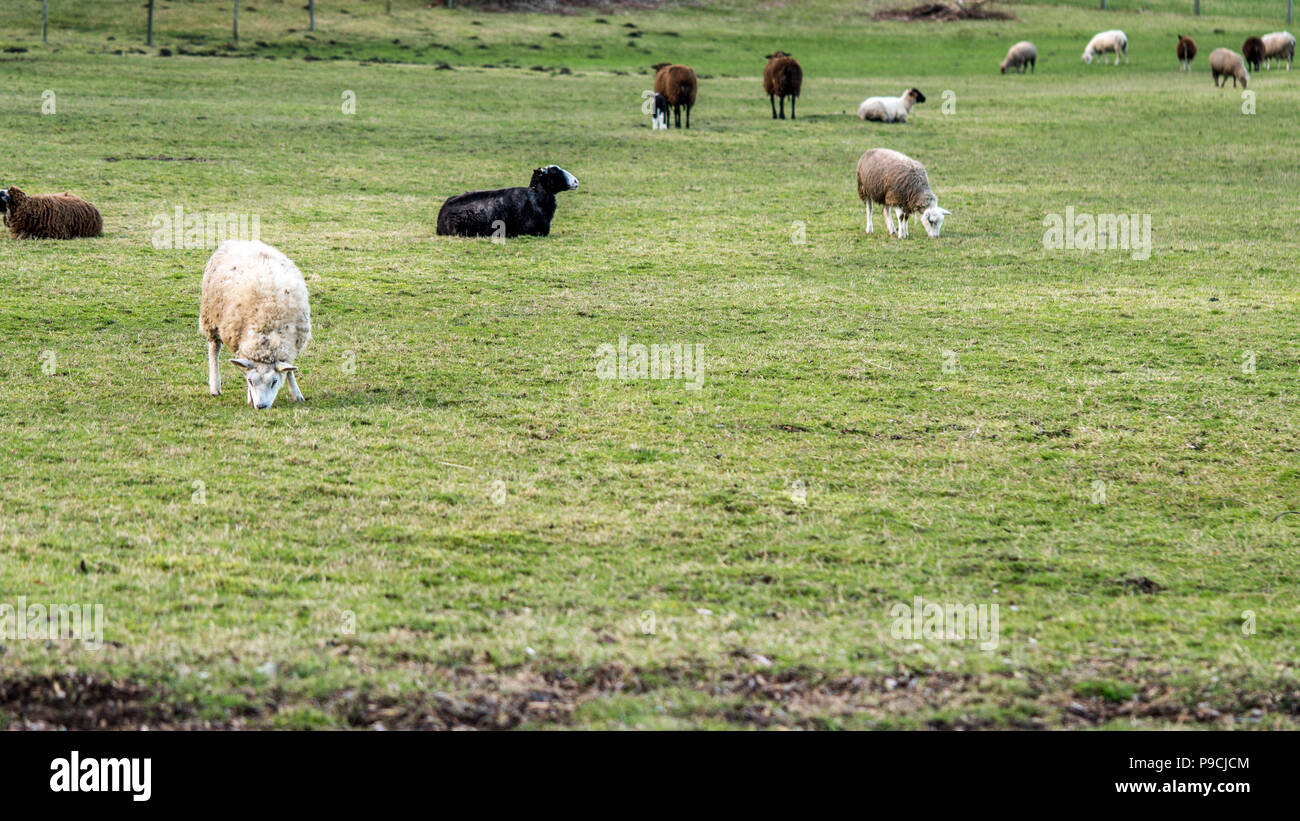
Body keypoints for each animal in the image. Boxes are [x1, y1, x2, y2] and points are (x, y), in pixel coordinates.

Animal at [199, 240, 311, 410]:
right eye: (251, 381)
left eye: (274, 382)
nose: (261, 406)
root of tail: (236, 241)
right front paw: (249, 397)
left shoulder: (291, 346)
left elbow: (289, 370)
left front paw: (297, 394)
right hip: (211, 316)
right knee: (214, 349)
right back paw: (215, 388)